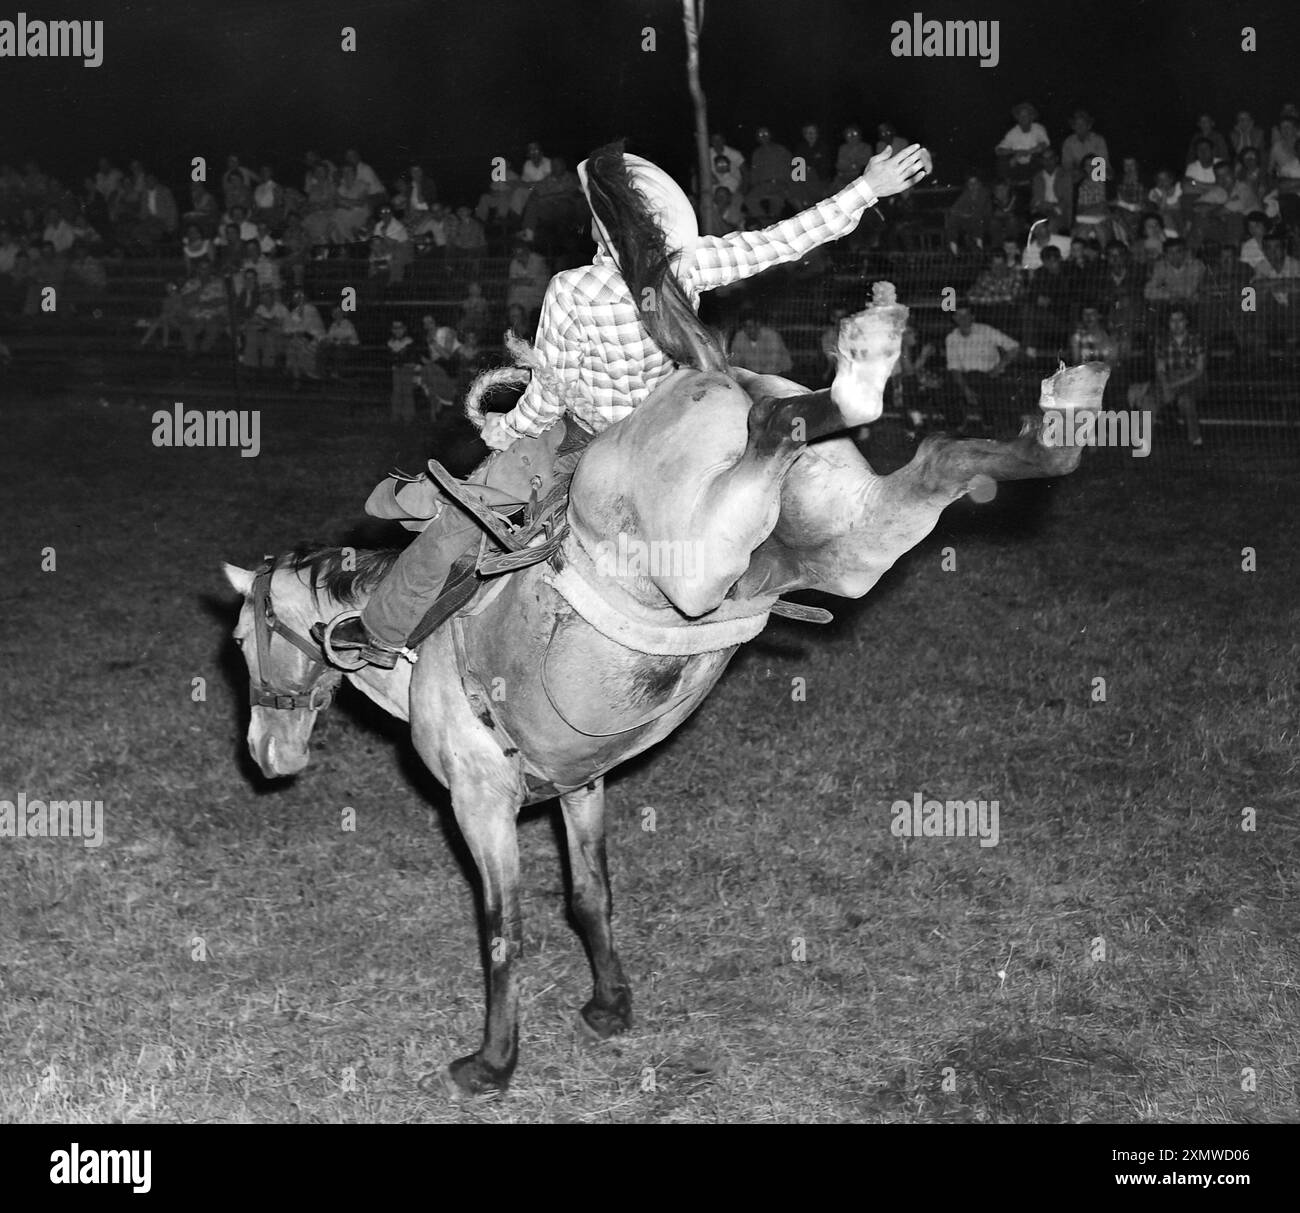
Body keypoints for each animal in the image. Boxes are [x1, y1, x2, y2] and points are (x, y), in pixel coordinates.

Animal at [224, 290, 1108, 1097]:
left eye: (239, 642)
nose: (265, 753)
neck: (420, 649)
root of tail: (715, 370)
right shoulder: (579, 784)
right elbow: (590, 896)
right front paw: (610, 1004)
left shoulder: (479, 801)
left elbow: (504, 930)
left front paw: (492, 1063)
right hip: (844, 541)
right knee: (935, 462)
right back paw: (1054, 410)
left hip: (697, 557)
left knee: (777, 430)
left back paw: (865, 359)